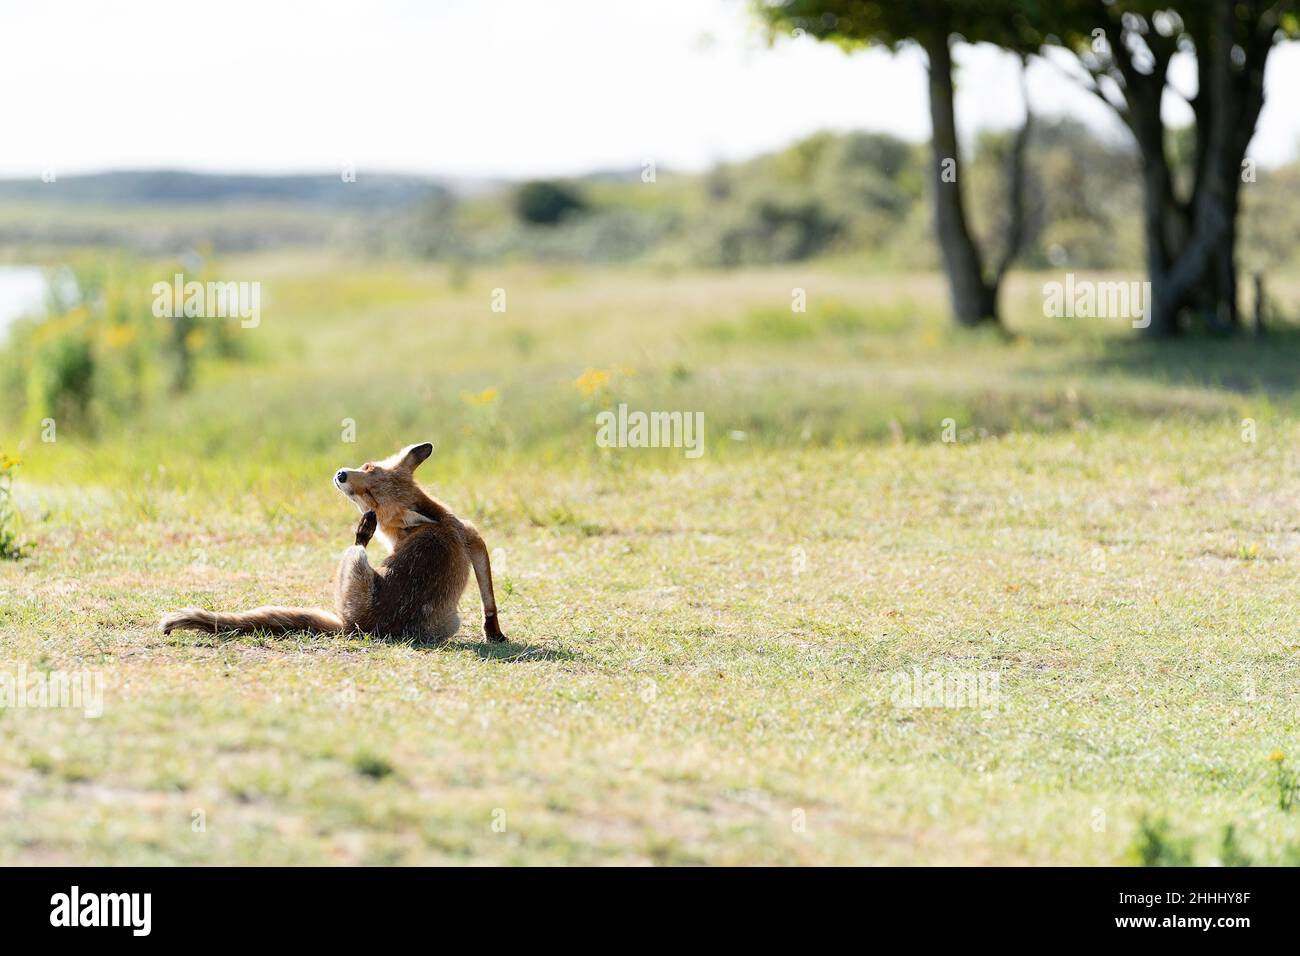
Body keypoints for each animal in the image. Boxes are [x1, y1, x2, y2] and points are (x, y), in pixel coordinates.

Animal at [160, 441, 505, 644]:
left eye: (371, 496)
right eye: (367, 467)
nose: (341, 475)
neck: (435, 517)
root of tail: (357, 626)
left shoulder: (472, 535)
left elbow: (488, 600)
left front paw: (493, 632)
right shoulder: (473, 536)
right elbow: (489, 597)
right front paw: (495, 632)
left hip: (357, 565)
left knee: (357, 548)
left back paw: (363, 532)